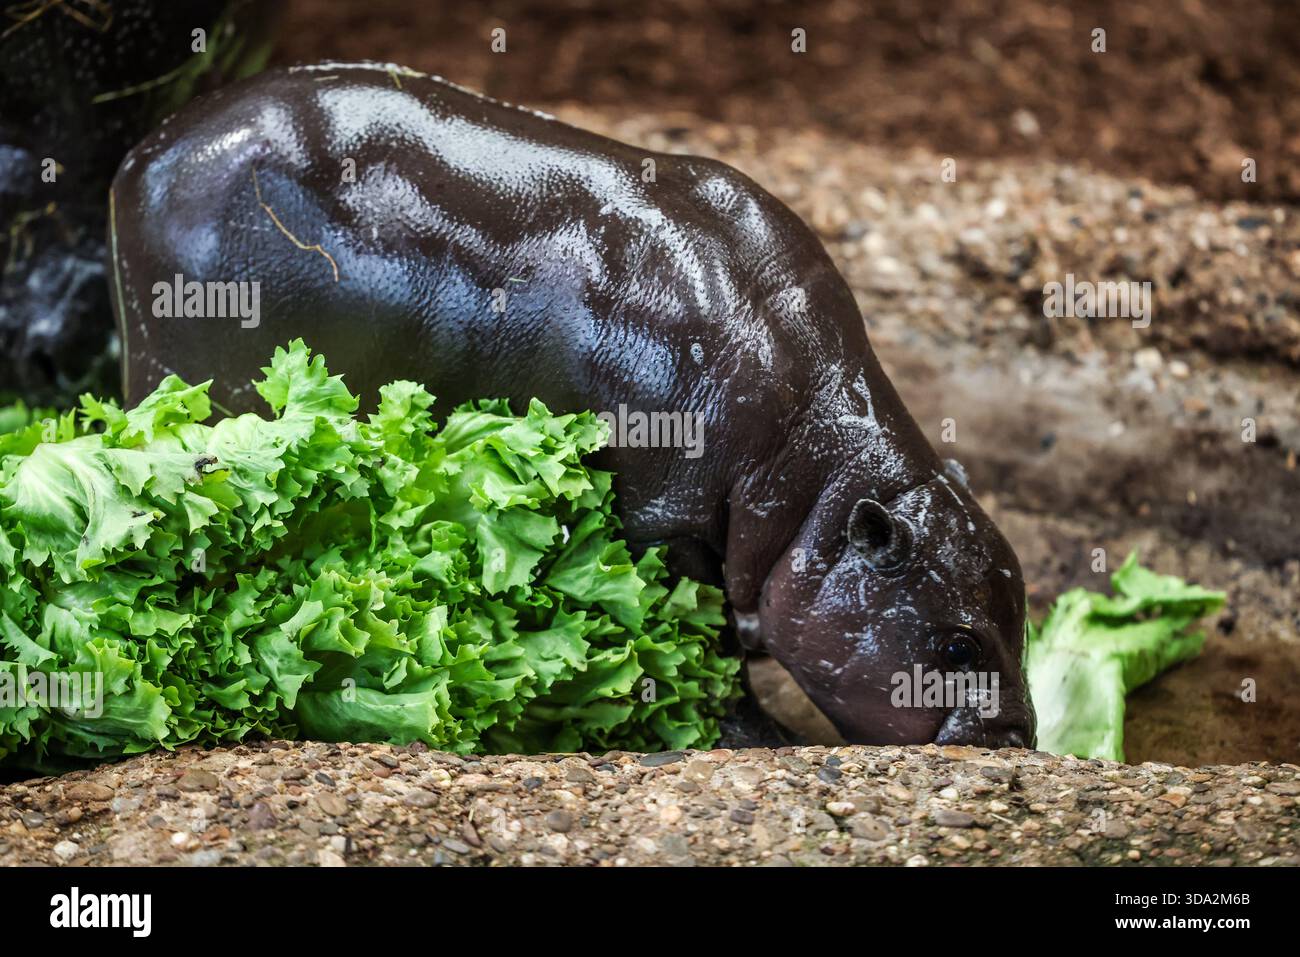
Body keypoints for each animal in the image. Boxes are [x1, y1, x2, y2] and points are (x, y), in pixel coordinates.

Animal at [108, 62, 1035, 749]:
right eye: (957, 643)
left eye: (1021, 611)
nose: (1018, 738)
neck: (818, 474)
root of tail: (139, 158)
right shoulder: (666, 524)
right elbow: (708, 650)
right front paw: (755, 735)